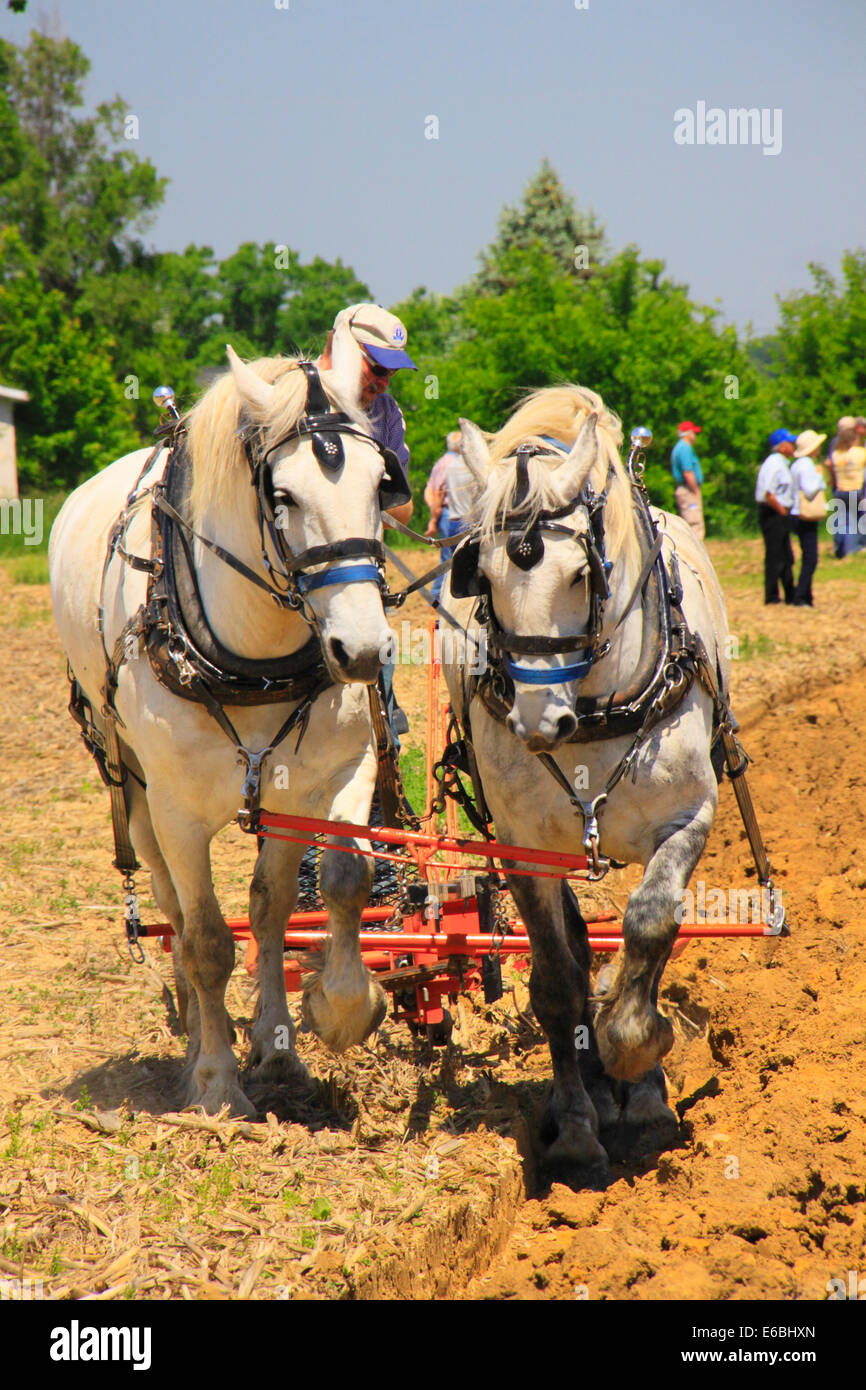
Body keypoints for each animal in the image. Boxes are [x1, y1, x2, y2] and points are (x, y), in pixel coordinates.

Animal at [49, 328, 404, 1118]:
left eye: (381, 483)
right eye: (283, 494)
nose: (364, 650)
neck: (256, 659)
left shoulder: (328, 779)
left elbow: (329, 885)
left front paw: (328, 1016)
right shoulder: (179, 810)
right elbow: (209, 940)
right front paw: (216, 1082)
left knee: (264, 909)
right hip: (134, 790)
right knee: (173, 911)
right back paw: (191, 1037)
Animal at [441, 385, 731, 1180]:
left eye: (582, 574)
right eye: (483, 578)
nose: (539, 721)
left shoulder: (688, 818)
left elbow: (648, 927)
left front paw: (638, 1055)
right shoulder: (523, 849)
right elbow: (557, 981)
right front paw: (576, 1127)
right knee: (575, 942)